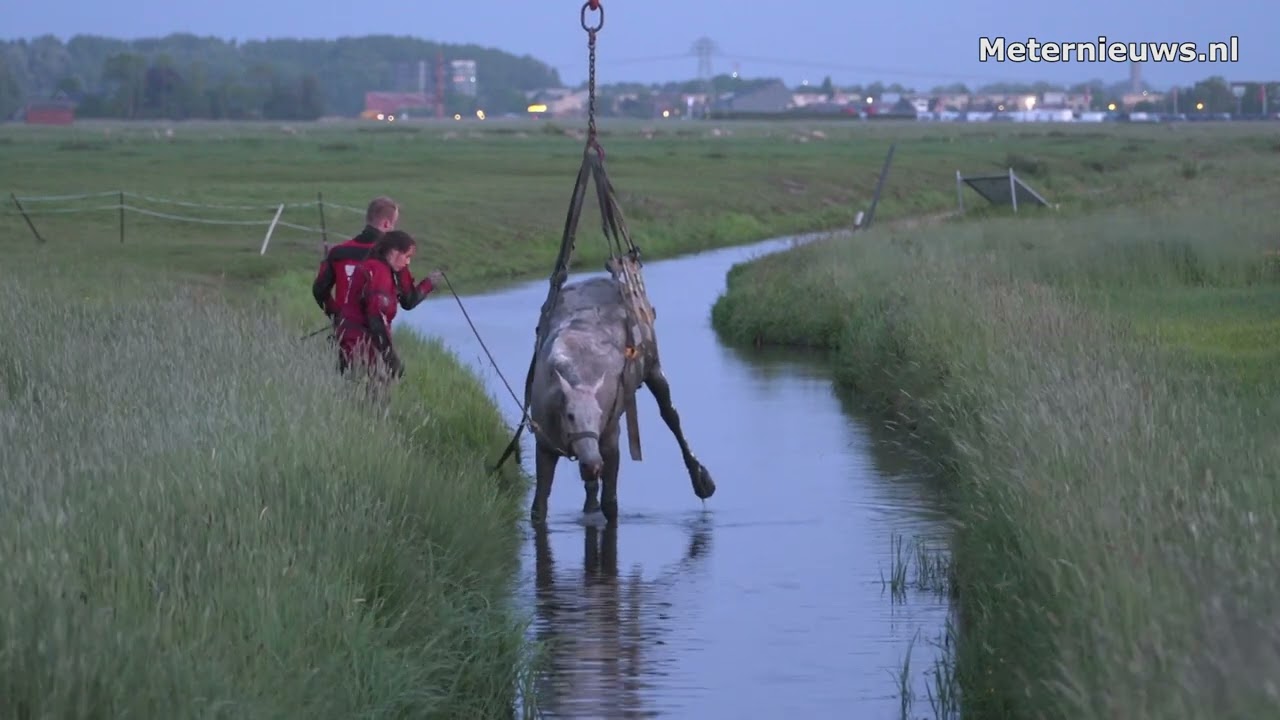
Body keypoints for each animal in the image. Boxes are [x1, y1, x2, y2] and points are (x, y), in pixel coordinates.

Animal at [527, 271, 714, 524]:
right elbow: (538, 507)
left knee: (671, 416)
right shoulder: (545, 447)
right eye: (570, 415)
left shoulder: (610, 441)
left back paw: (702, 481)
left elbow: (611, 504)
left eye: (599, 415)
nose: (593, 464)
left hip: (654, 368)